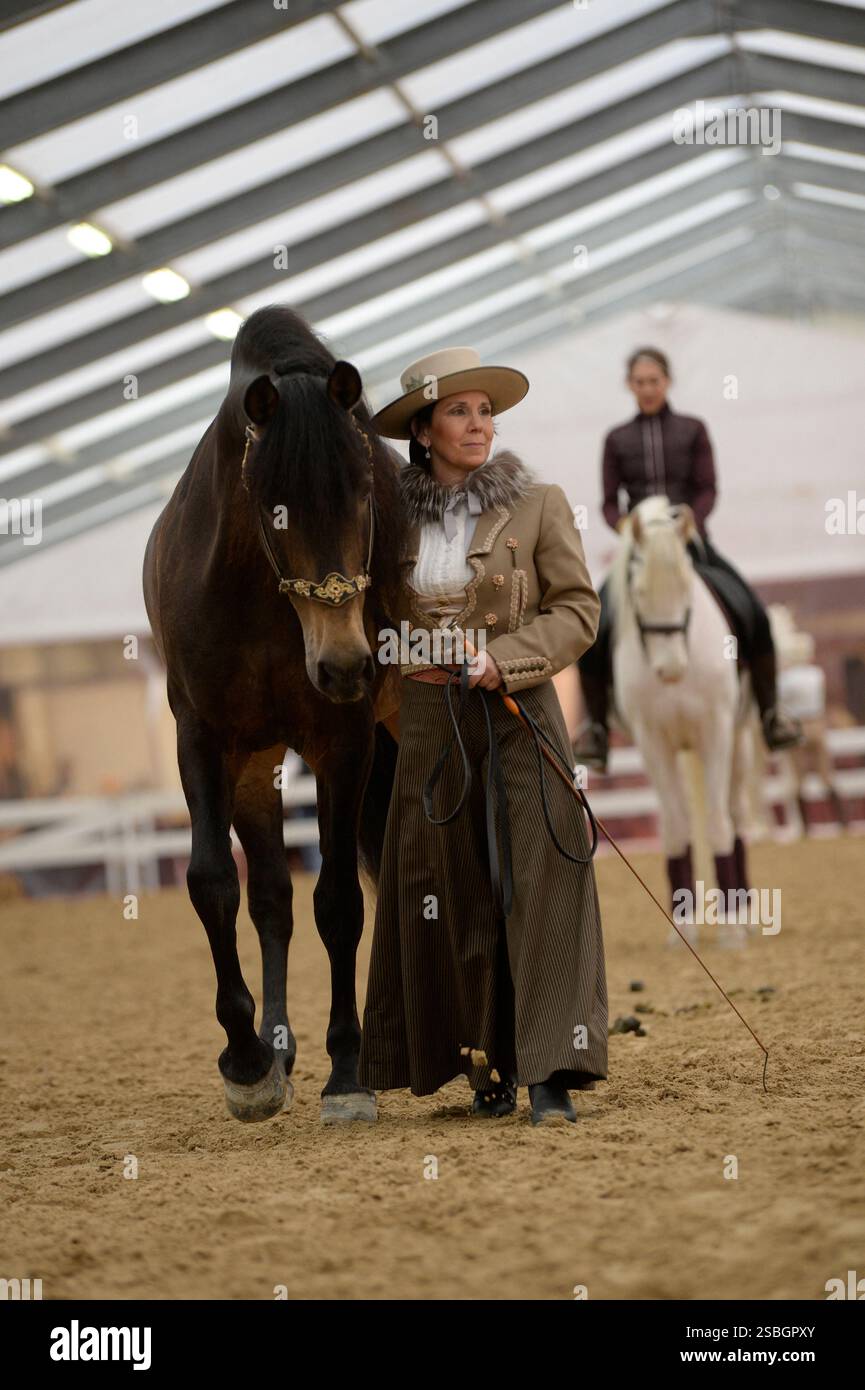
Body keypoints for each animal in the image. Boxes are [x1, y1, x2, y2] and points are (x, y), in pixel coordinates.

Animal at [142, 305, 402, 1124]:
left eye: (363, 490)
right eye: (272, 505)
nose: (344, 665)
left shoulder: (342, 741)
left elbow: (340, 902)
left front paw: (347, 1070)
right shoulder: (203, 738)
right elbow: (213, 883)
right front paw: (248, 1059)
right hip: (258, 763)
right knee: (270, 899)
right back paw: (278, 1047)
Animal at [606, 496, 753, 940]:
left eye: (687, 588)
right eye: (638, 591)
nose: (670, 669)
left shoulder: (715, 732)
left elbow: (718, 822)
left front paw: (731, 928)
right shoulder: (653, 741)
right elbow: (675, 827)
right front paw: (683, 926)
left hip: (738, 741)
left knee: (737, 814)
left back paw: (744, 912)